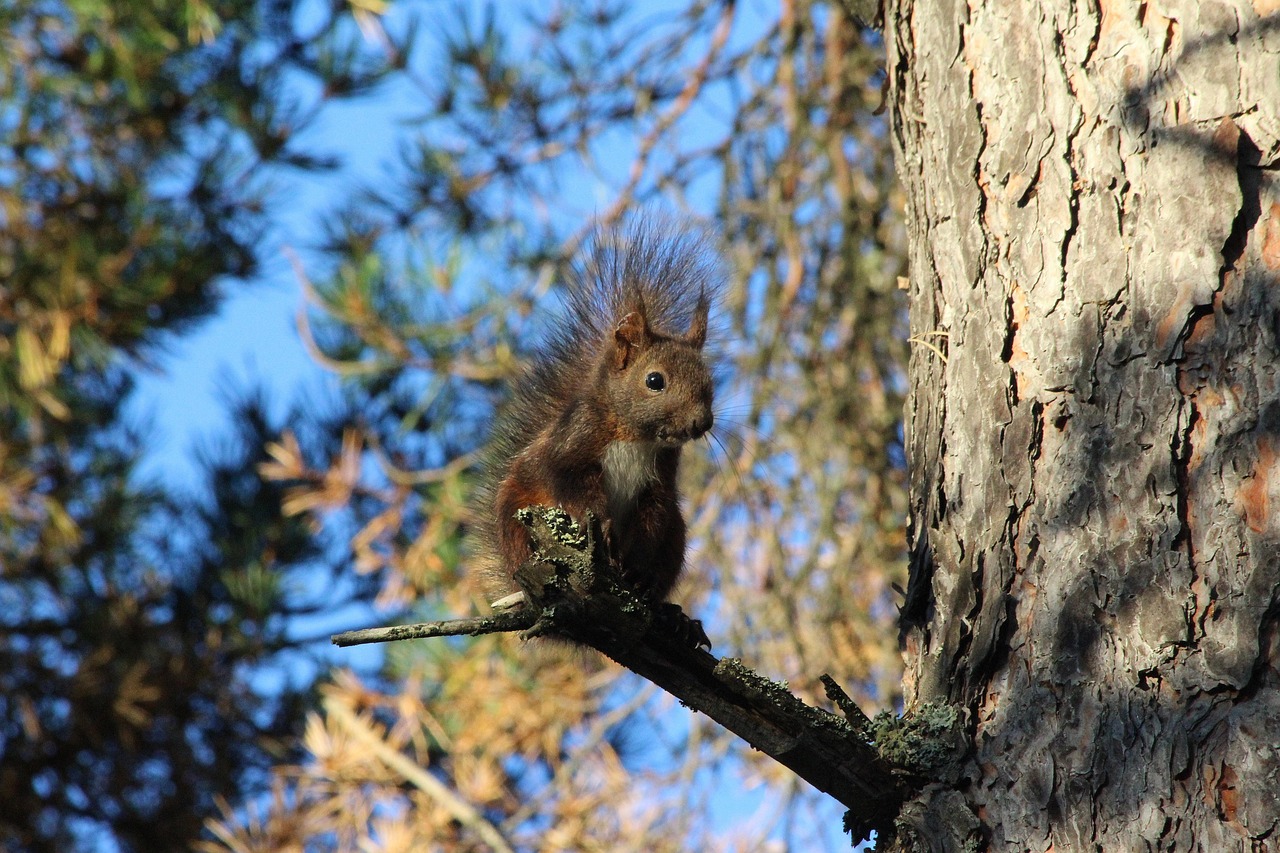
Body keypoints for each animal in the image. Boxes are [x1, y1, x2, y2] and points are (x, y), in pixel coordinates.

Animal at [471, 222, 719, 613]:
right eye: (655, 381)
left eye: (709, 382)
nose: (701, 423)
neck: (634, 435)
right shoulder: (571, 445)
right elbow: (570, 484)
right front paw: (601, 524)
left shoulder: (660, 479)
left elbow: (653, 516)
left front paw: (638, 568)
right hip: (516, 515)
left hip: (676, 537)